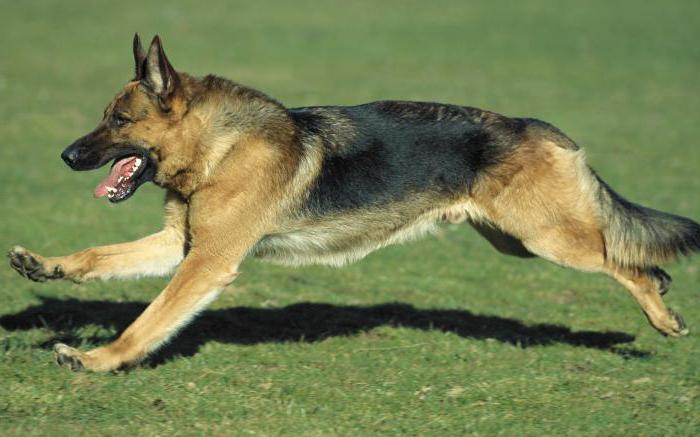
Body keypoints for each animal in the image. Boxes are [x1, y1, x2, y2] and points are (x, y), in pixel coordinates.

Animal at [6, 34, 700, 370]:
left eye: (118, 121)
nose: (65, 156)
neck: (218, 147)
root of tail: (541, 127)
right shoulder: (181, 246)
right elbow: (97, 255)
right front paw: (45, 266)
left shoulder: (206, 263)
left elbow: (146, 323)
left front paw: (98, 360)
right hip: (517, 241)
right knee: (631, 255)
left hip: (546, 240)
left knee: (626, 260)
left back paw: (663, 317)